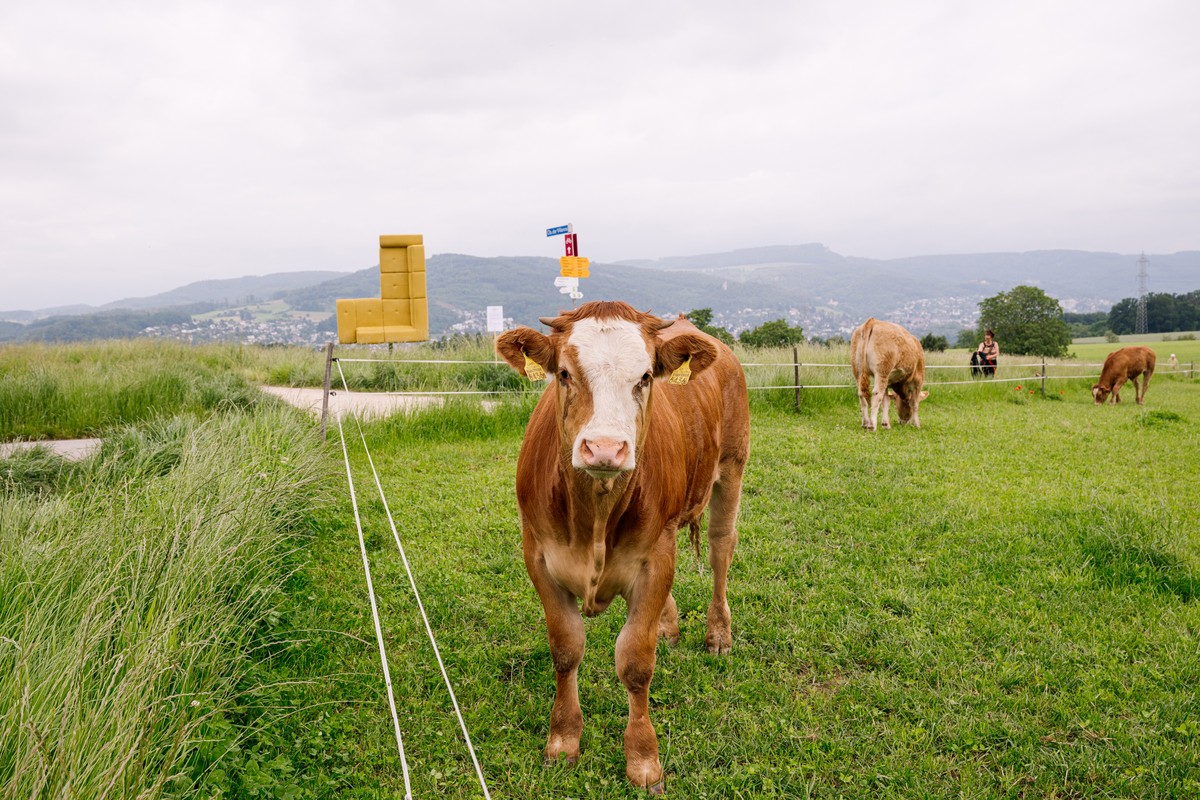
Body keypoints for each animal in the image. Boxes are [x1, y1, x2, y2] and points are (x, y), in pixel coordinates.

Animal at [495, 301, 750, 792]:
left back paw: (718, 635)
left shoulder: (655, 558)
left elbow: (634, 661)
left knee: (720, 551)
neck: (595, 513)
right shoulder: (538, 555)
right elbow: (566, 649)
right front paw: (563, 741)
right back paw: (668, 625)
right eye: (564, 374)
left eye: (646, 376)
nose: (605, 449)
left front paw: (643, 761)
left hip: (732, 468)